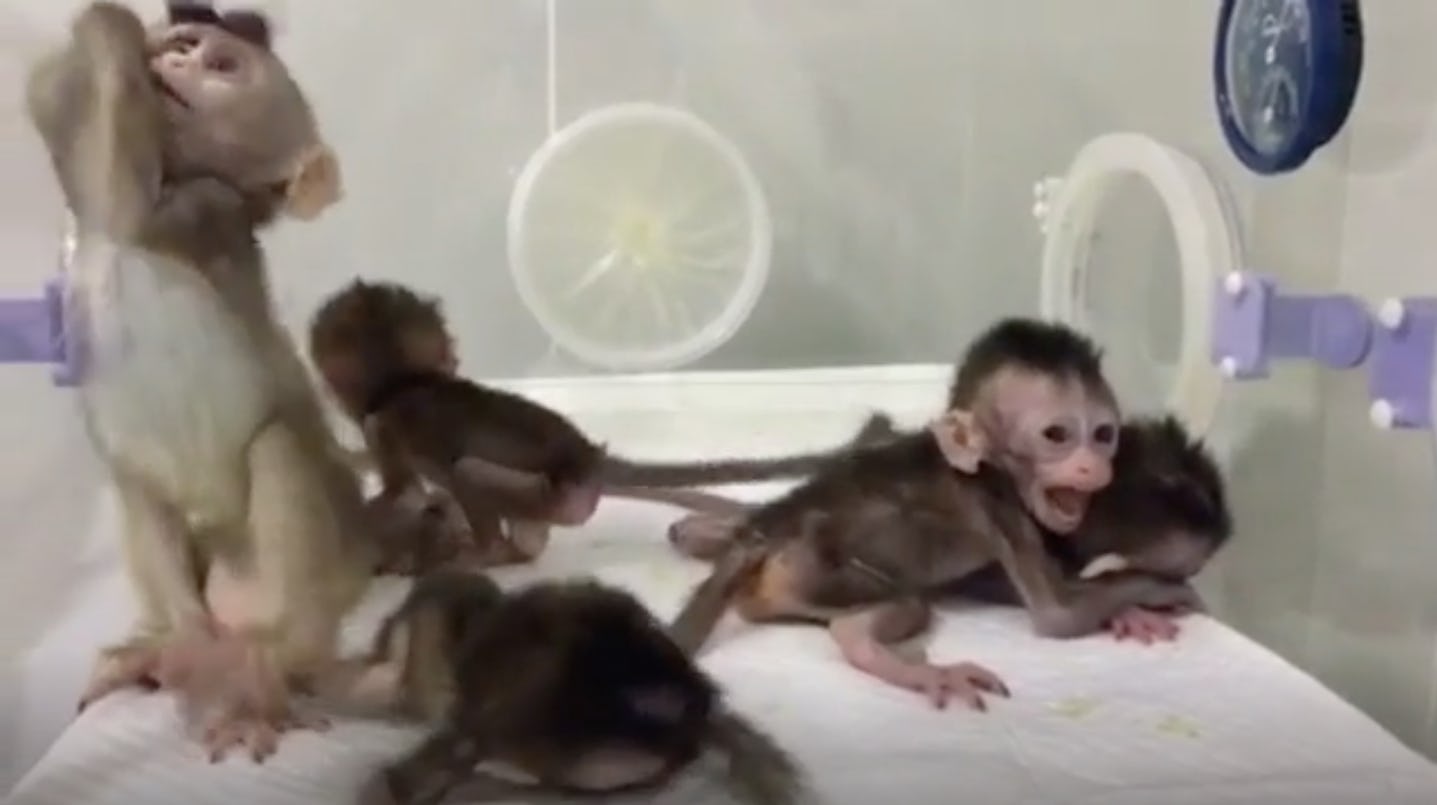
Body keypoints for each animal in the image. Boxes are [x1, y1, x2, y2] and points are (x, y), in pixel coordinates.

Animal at [26, 1, 375, 761]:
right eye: (188, 46)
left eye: (223, 67)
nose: (177, 54)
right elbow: (54, 114)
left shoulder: (205, 208)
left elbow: (123, 208)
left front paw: (115, 25)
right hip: (183, 545)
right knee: (138, 489)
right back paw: (166, 645)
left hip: (300, 568)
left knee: (278, 453)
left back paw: (259, 677)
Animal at [305, 279, 845, 574]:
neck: (405, 380)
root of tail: (587, 456)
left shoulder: (379, 424)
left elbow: (401, 492)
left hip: (551, 495)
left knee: (469, 474)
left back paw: (487, 553)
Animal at [665, 319, 1202, 710]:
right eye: (1057, 435)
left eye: (1104, 434)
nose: (1093, 466)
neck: (987, 466)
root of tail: (766, 531)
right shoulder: (998, 503)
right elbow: (1057, 616)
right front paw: (1165, 590)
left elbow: (993, 584)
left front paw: (1131, 612)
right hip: (812, 577)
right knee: (895, 610)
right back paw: (909, 664)